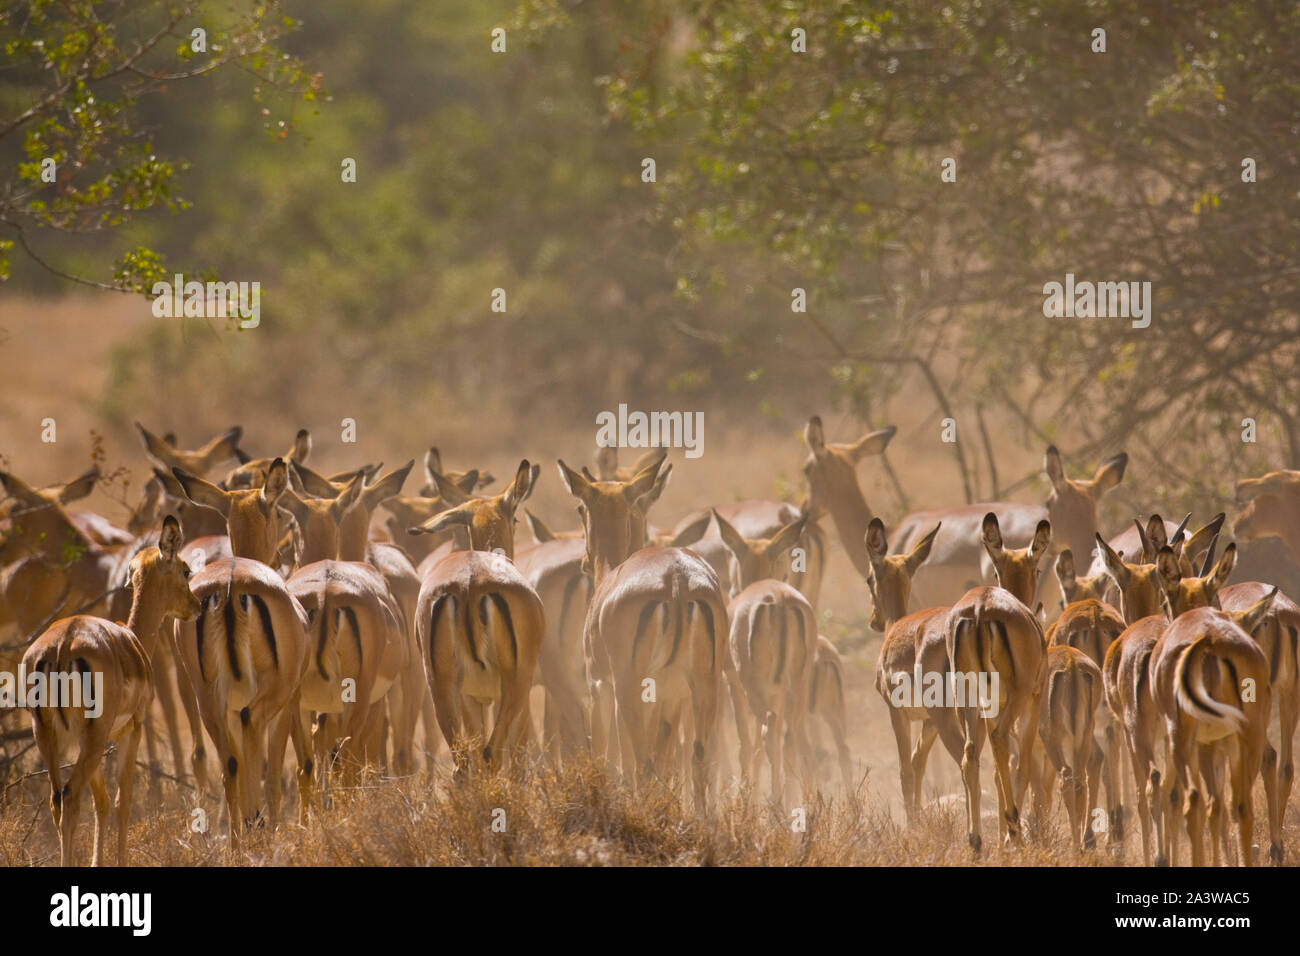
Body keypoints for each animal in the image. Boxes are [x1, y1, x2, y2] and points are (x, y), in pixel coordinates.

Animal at [24, 515, 200, 865]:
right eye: (186, 570)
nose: (196, 605)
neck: (134, 641)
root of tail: (63, 646)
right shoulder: (131, 729)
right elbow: (122, 801)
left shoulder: (89, 737)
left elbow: (102, 802)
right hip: (92, 736)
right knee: (71, 796)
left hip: (48, 734)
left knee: (57, 799)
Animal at [410, 460, 545, 772]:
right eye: (515, 518)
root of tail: (469, 584)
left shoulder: (472, 697)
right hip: (515, 686)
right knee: (492, 754)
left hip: (440, 685)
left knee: (463, 764)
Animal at [557, 456, 727, 811]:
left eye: (580, 508)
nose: (583, 561)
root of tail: (676, 579)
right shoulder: (670, 696)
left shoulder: (599, 685)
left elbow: (608, 757)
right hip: (704, 686)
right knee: (697, 758)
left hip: (629, 690)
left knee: (643, 765)